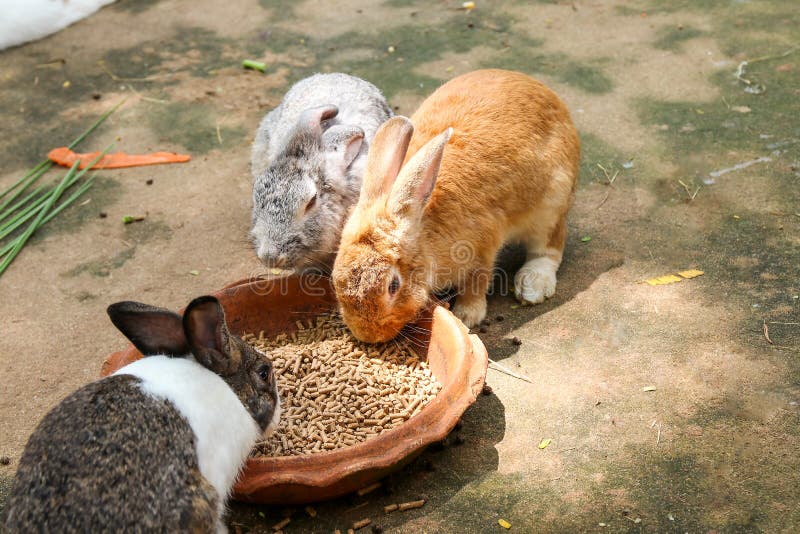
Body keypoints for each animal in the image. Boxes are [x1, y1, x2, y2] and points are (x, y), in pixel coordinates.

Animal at [331, 69, 580, 342]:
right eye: (334, 280)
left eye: (393, 285)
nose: (367, 335)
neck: (423, 228)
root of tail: (548, 94)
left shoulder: (482, 247)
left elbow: (477, 282)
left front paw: (466, 316)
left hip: (551, 204)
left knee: (549, 248)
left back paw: (533, 286)